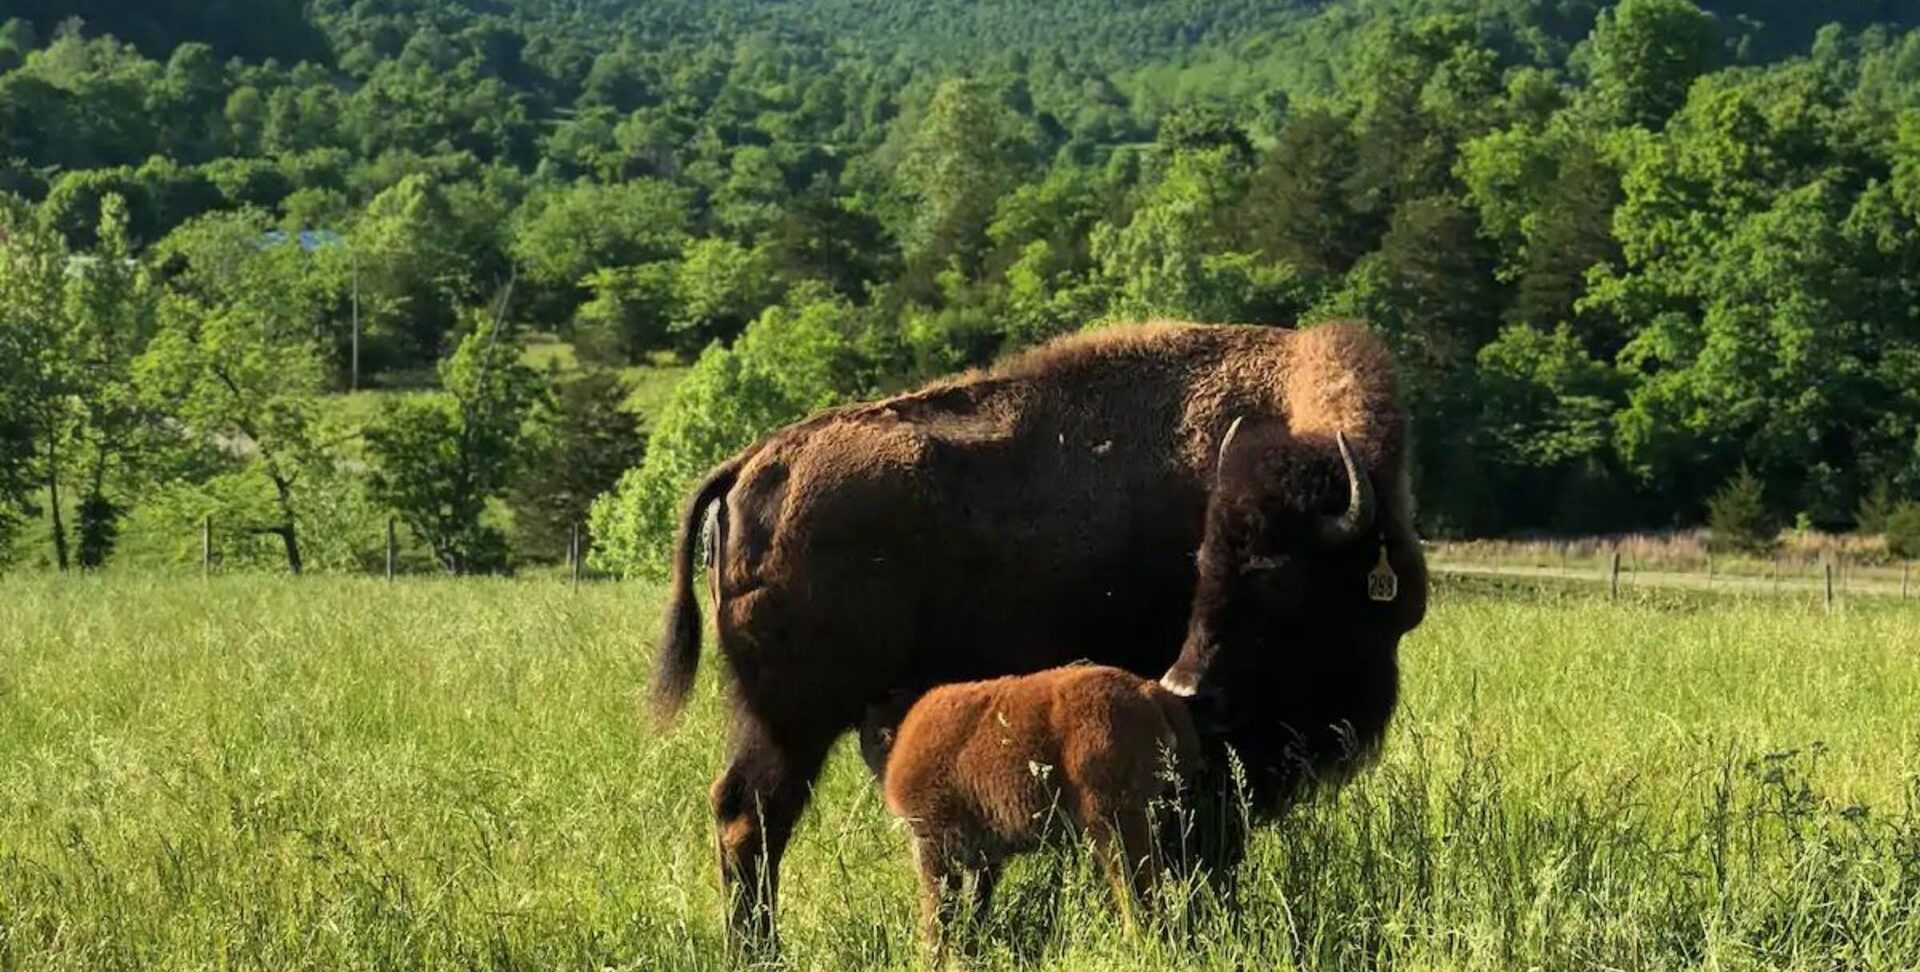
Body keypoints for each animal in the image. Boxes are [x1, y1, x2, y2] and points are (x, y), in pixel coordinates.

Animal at [649, 320, 1427, 944]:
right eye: (1205, 565)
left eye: (1281, 579)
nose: (1188, 690)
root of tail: (754, 464)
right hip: (793, 719)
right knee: (751, 818)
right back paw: (758, 948)